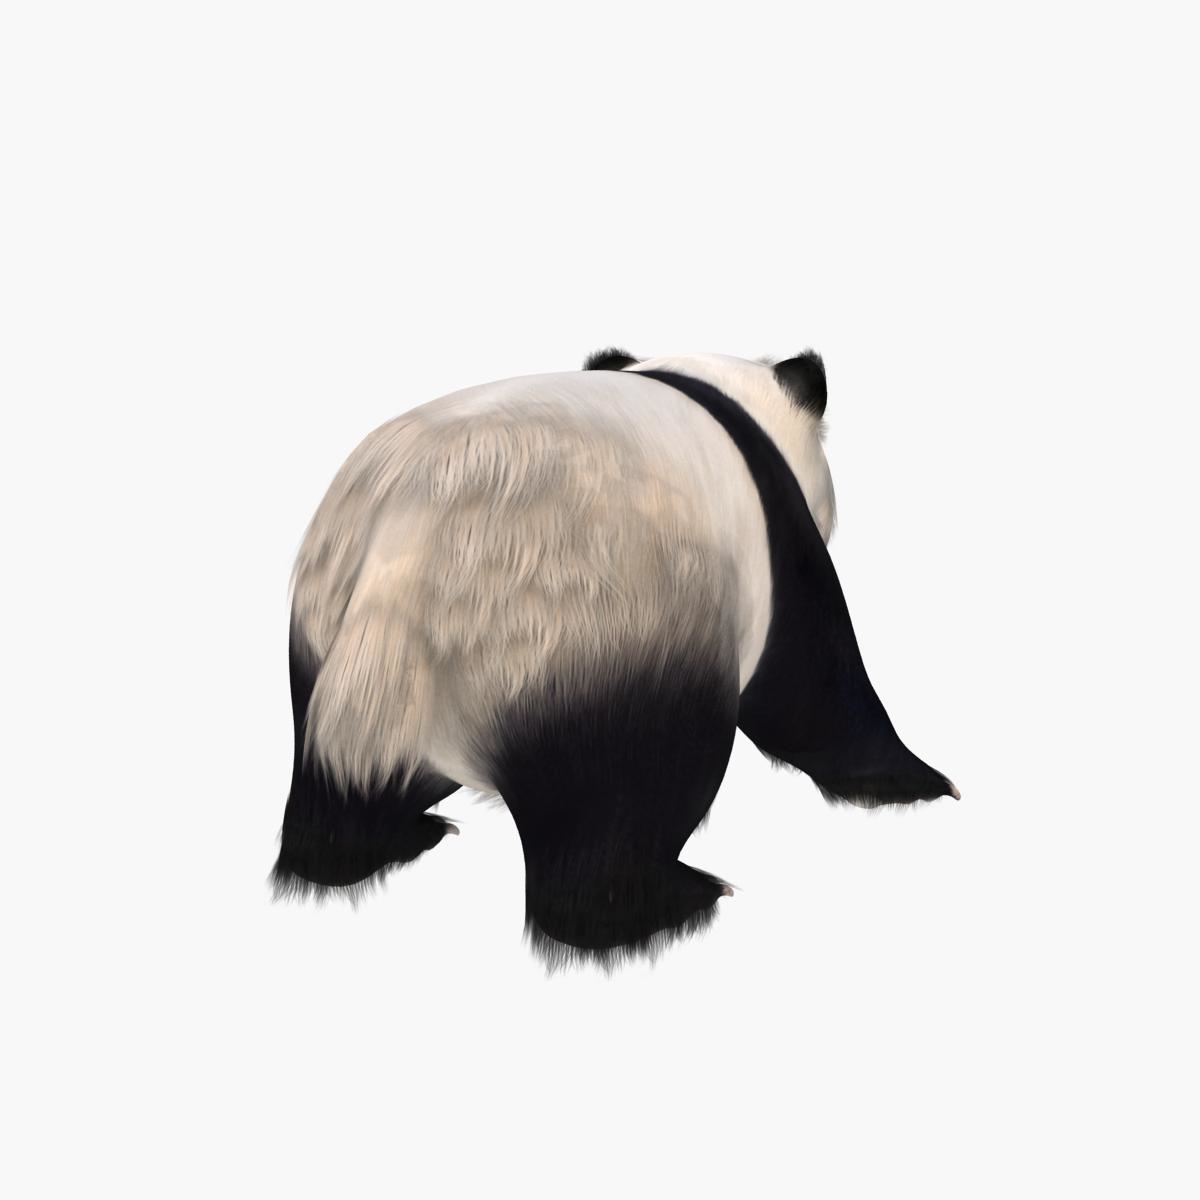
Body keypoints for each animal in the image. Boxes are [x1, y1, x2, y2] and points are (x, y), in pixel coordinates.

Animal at [272, 348, 957, 969]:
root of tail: (408, 542)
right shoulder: (772, 545)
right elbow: (811, 685)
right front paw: (918, 782)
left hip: (324, 631)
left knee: (333, 792)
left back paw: (396, 839)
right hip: (600, 632)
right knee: (619, 802)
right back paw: (672, 904)